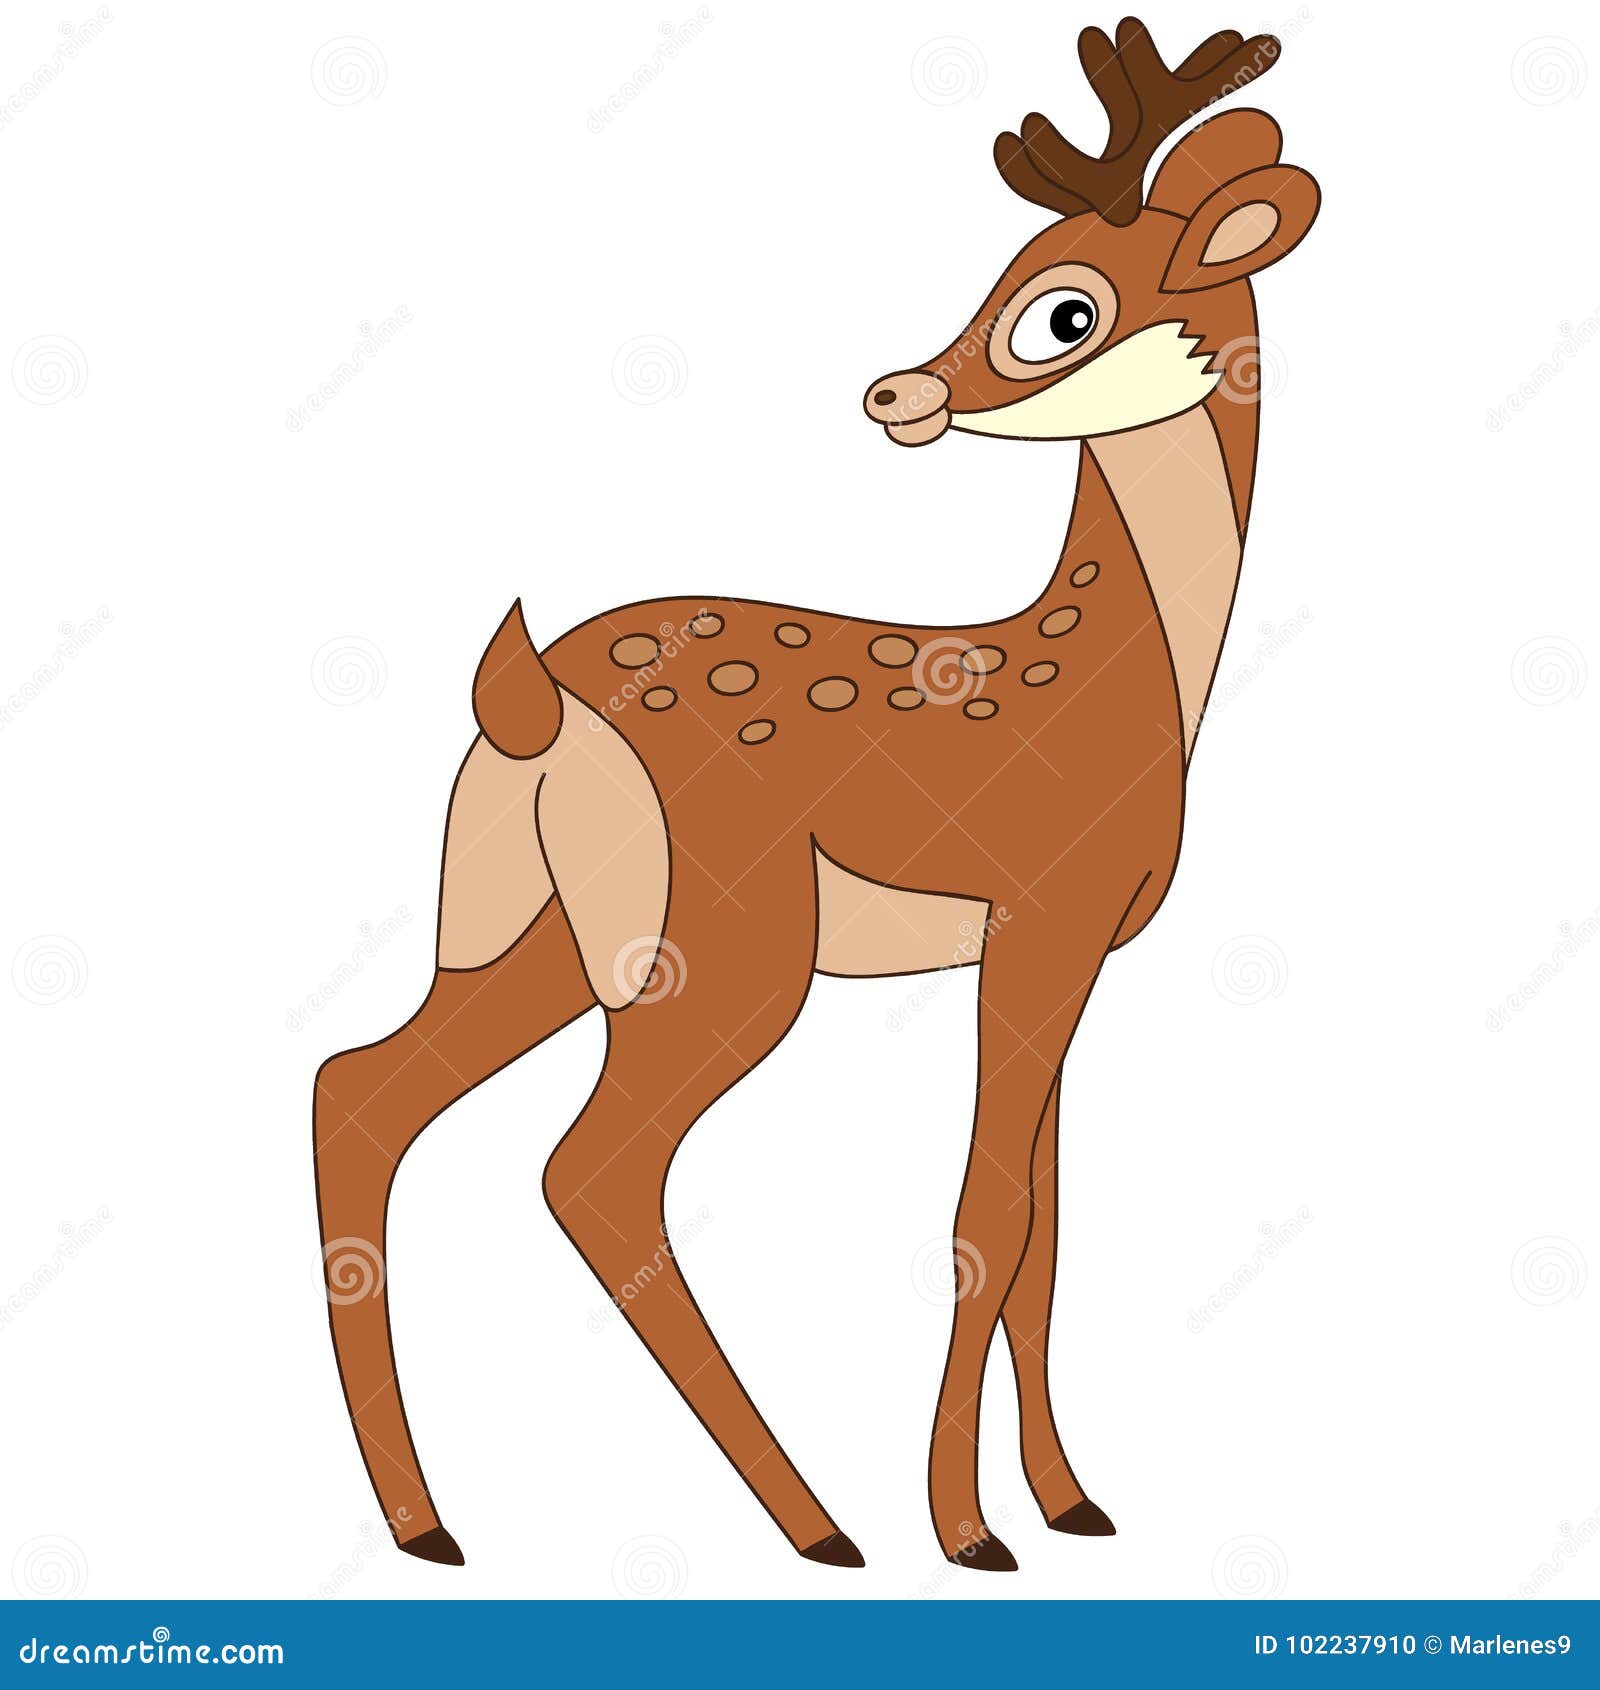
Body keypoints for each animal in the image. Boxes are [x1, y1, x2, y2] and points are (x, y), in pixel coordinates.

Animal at [314, 17, 1320, 1574]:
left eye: (1062, 310)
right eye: (1020, 280)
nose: (898, 391)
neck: (1123, 679)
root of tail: (526, 707)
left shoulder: (1069, 941)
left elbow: (1048, 1226)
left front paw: (1072, 1501)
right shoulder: (1045, 912)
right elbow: (988, 1215)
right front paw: (969, 1531)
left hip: (532, 930)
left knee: (357, 1089)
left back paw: (429, 1525)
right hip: (725, 945)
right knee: (590, 1171)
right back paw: (821, 1524)